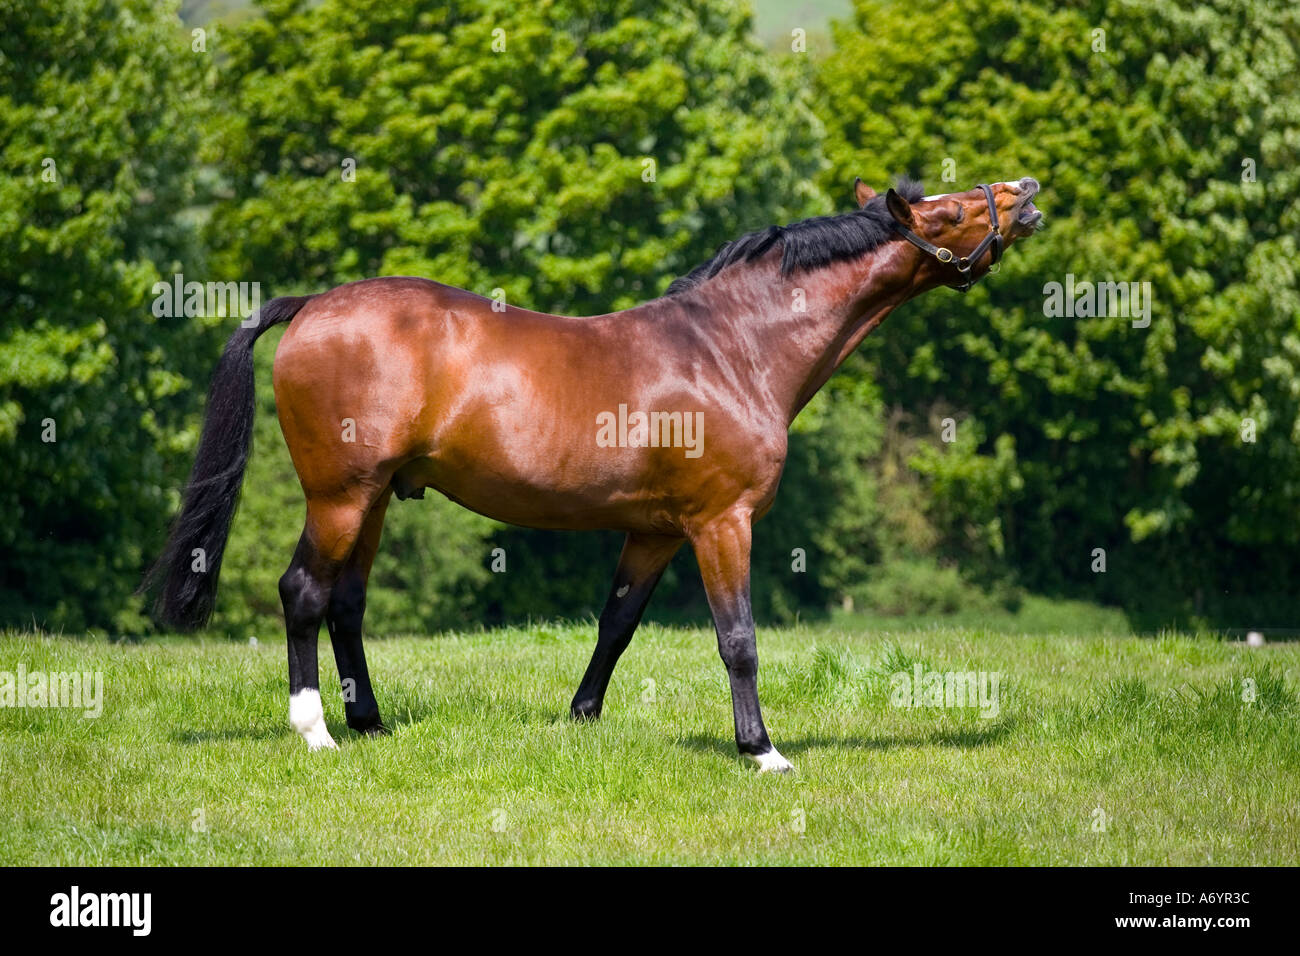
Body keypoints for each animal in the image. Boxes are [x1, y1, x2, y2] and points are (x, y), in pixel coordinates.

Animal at [147, 176, 1042, 771]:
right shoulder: (722, 523)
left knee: (346, 602)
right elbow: (738, 638)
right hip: (339, 496)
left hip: (373, 503)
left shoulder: (653, 532)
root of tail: (311, 305)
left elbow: (616, 625)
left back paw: (369, 723)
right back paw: (317, 731)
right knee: (303, 592)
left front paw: (579, 720)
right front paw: (761, 750)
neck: (733, 347)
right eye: (950, 209)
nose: (1026, 190)